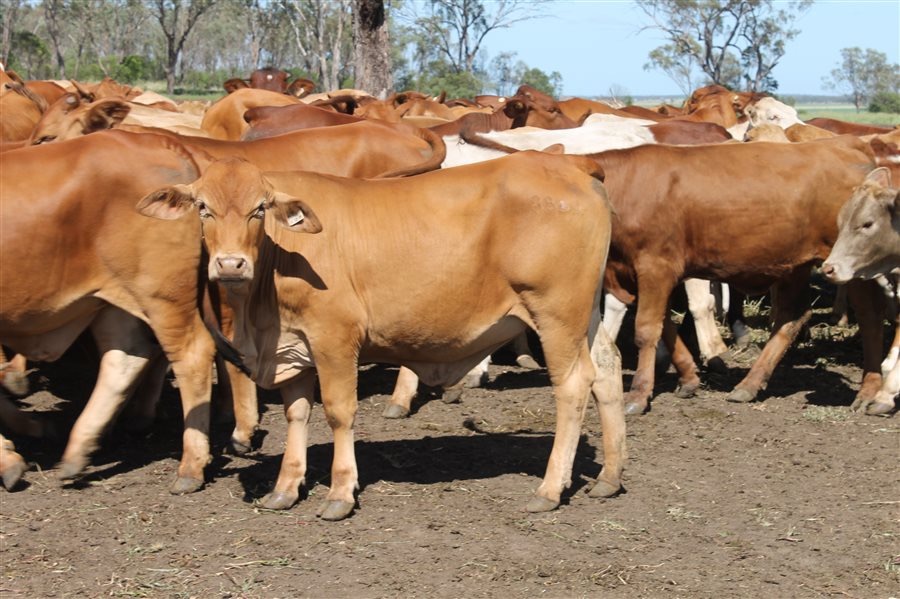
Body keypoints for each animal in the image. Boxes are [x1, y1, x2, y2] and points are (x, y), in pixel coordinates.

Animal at [0, 130, 219, 492]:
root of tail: (161, 142)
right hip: (113, 300)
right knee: (126, 357)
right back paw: (78, 451)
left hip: (161, 294)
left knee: (192, 354)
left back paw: (191, 466)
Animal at [137, 152, 627, 521]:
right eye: (203, 207)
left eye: (259, 208)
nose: (230, 263)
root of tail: (572, 164)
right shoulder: (293, 346)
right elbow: (297, 414)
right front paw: (286, 487)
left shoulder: (334, 337)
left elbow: (339, 413)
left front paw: (339, 493)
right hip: (584, 315)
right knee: (607, 370)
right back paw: (609, 476)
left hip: (555, 313)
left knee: (573, 385)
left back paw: (550, 488)